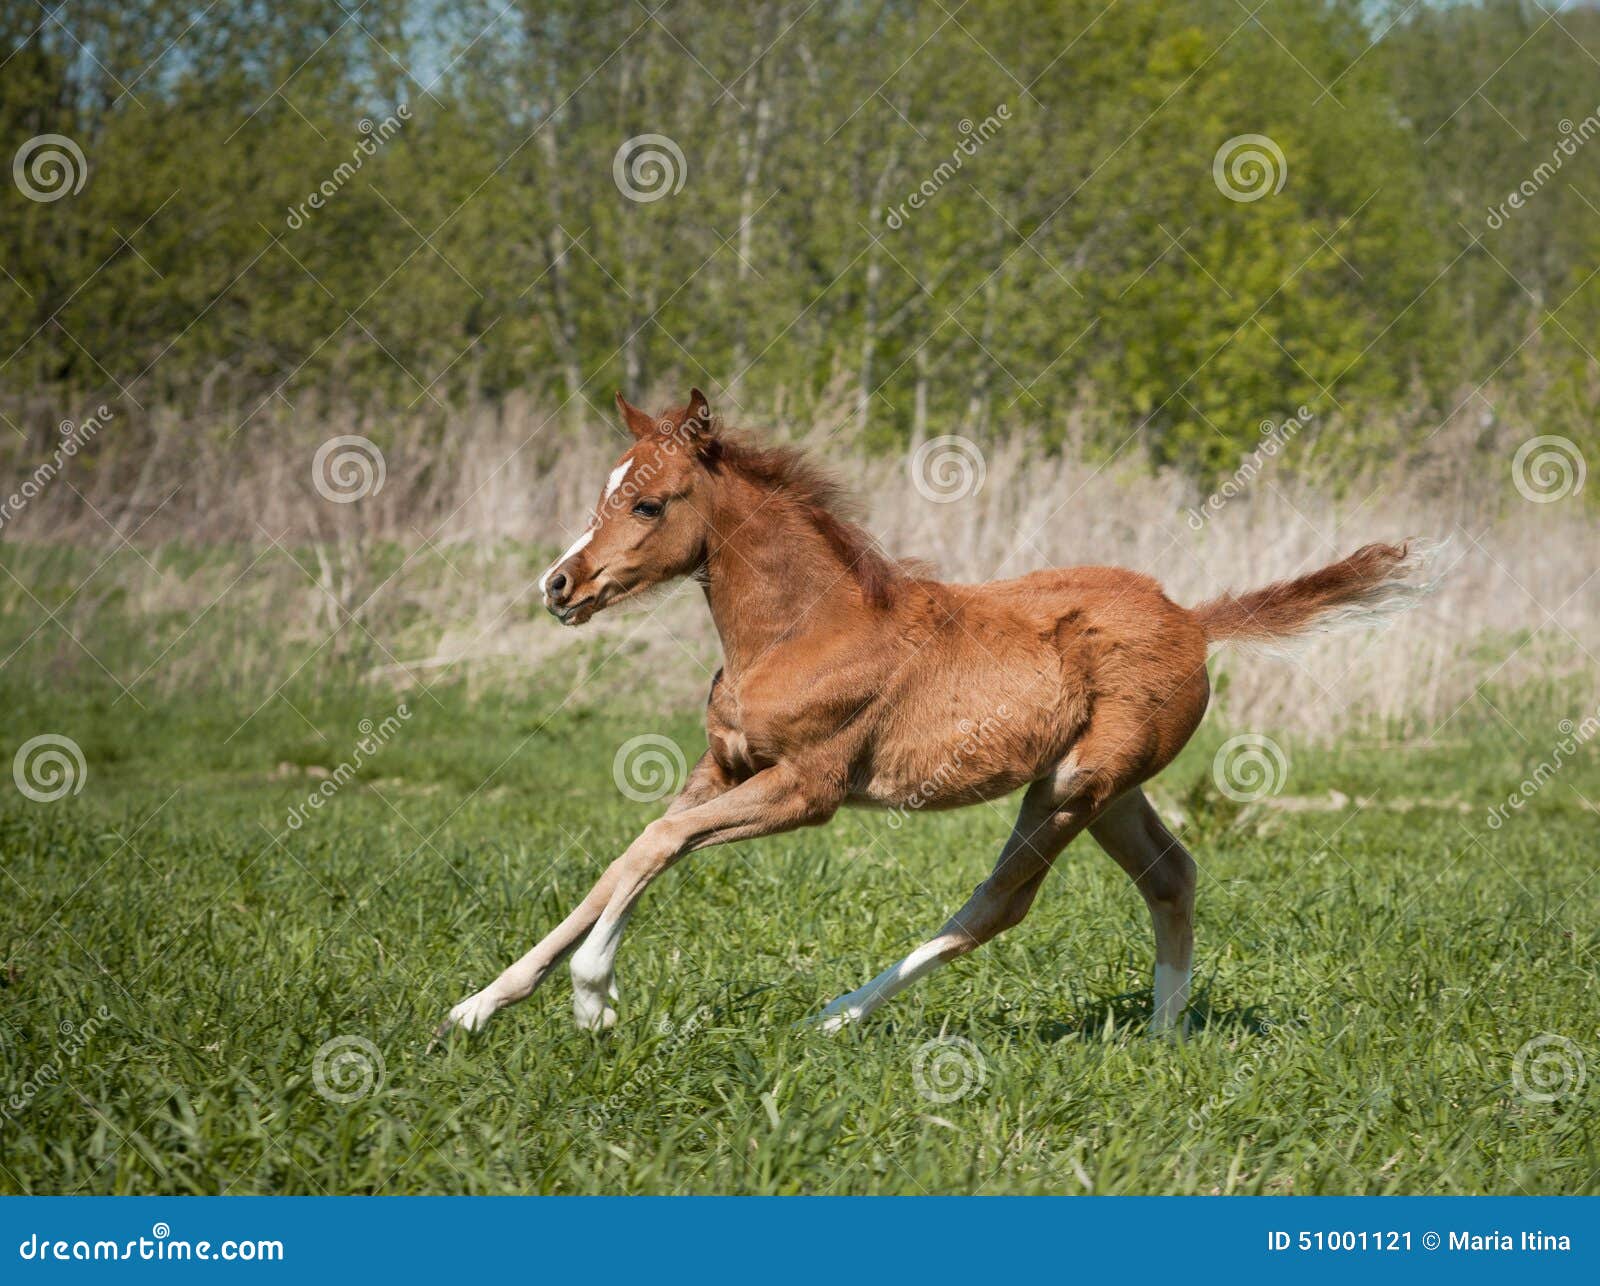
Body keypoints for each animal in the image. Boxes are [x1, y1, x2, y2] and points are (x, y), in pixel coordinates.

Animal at [437, 389, 1440, 1040]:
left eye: (648, 502)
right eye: (602, 491)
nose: (559, 586)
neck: (805, 627)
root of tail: (1193, 617)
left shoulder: (806, 789)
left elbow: (656, 844)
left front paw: (592, 998)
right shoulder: (720, 765)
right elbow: (628, 856)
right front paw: (480, 1005)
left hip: (1074, 787)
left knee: (1002, 903)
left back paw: (837, 1018)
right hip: (1108, 789)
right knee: (1171, 877)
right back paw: (1162, 1037)